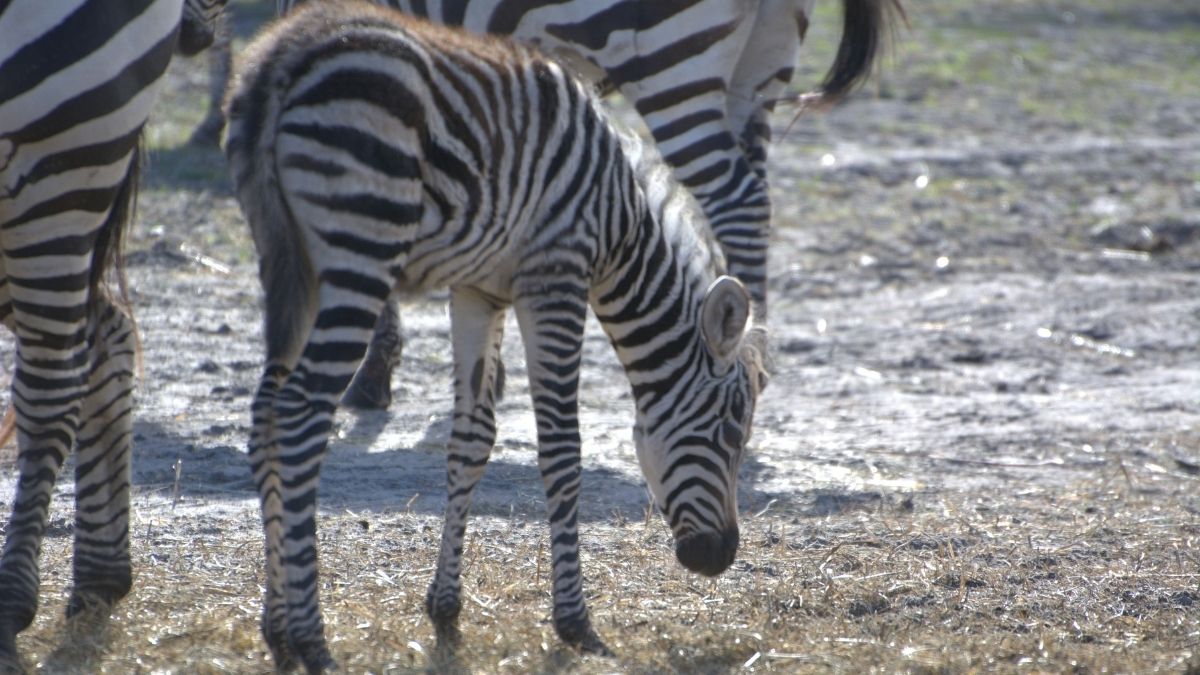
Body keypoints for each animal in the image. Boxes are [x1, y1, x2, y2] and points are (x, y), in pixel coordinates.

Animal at [204, 0, 902, 410]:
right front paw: (486, 374)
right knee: (755, 195)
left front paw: (375, 376)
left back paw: (747, 354)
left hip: (672, 56)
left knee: (735, 199)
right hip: (761, 67)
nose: (190, 34)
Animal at [224, 1, 770, 669]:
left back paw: (277, 631)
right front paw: (575, 624)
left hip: (288, 259)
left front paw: (445, 608)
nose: (719, 557)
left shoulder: (478, 291)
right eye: (732, 432)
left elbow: (472, 438)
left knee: (266, 413)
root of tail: (284, 57)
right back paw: (312, 640)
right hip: (360, 244)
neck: (619, 225)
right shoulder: (555, 275)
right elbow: (561, 448)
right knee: (301, 415)